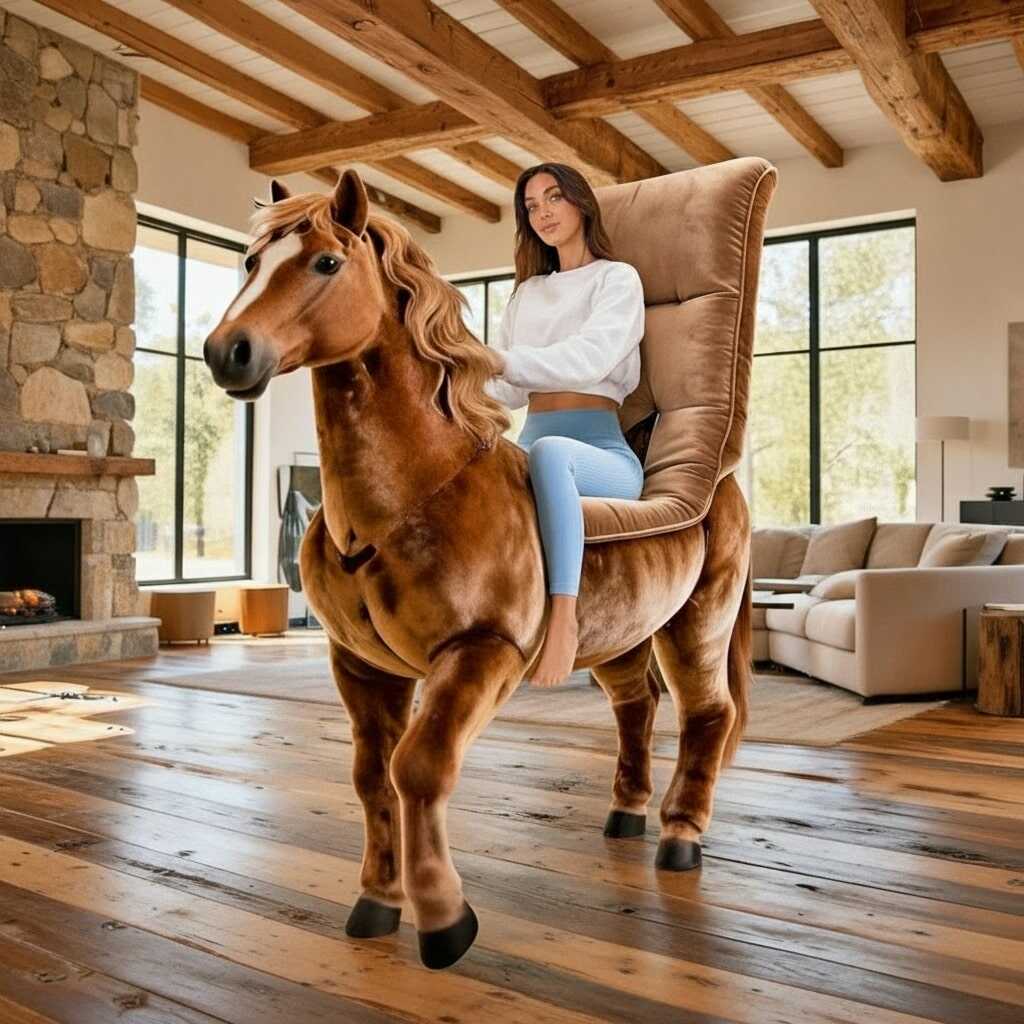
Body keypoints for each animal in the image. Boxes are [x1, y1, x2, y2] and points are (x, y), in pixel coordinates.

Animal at [203, 169, 752, 971]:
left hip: (697, 622)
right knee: (636, 704)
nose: (227, 353)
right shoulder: (361, 666)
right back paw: (626, 813)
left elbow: (419, 767)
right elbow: (371, 777)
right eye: (250, 262)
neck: (412, 494)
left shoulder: (481, 652)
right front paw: (376, 901)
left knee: (709, 713)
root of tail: (719, 482)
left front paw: (443, 918)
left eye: (327, 263)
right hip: (623, 632)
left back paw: (680, 836)